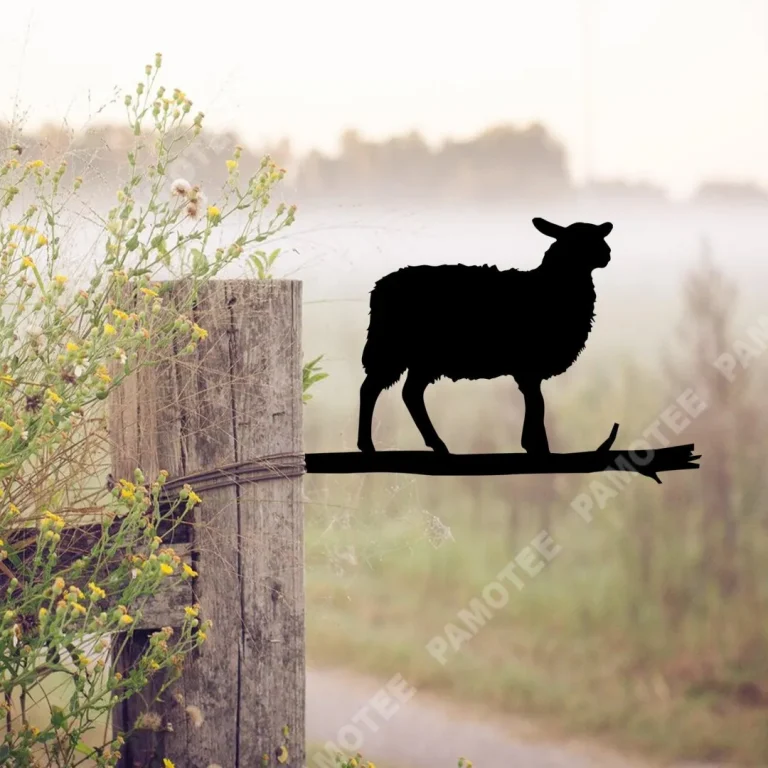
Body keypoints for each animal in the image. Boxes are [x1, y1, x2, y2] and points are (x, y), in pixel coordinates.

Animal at [356, 217, 613, 454]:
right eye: (580, 240)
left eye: (600, 235)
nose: (608, 254)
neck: (553, 285)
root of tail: (378, 288)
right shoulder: (528, 367)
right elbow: (537, 404)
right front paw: (538, 447)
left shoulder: (529, 371)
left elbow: (535, 402)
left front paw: (533, 445)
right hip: (392, 348)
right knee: (371, 389)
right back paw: (367, 445)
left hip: (423, 359)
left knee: (410, 393)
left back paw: (437, 445)